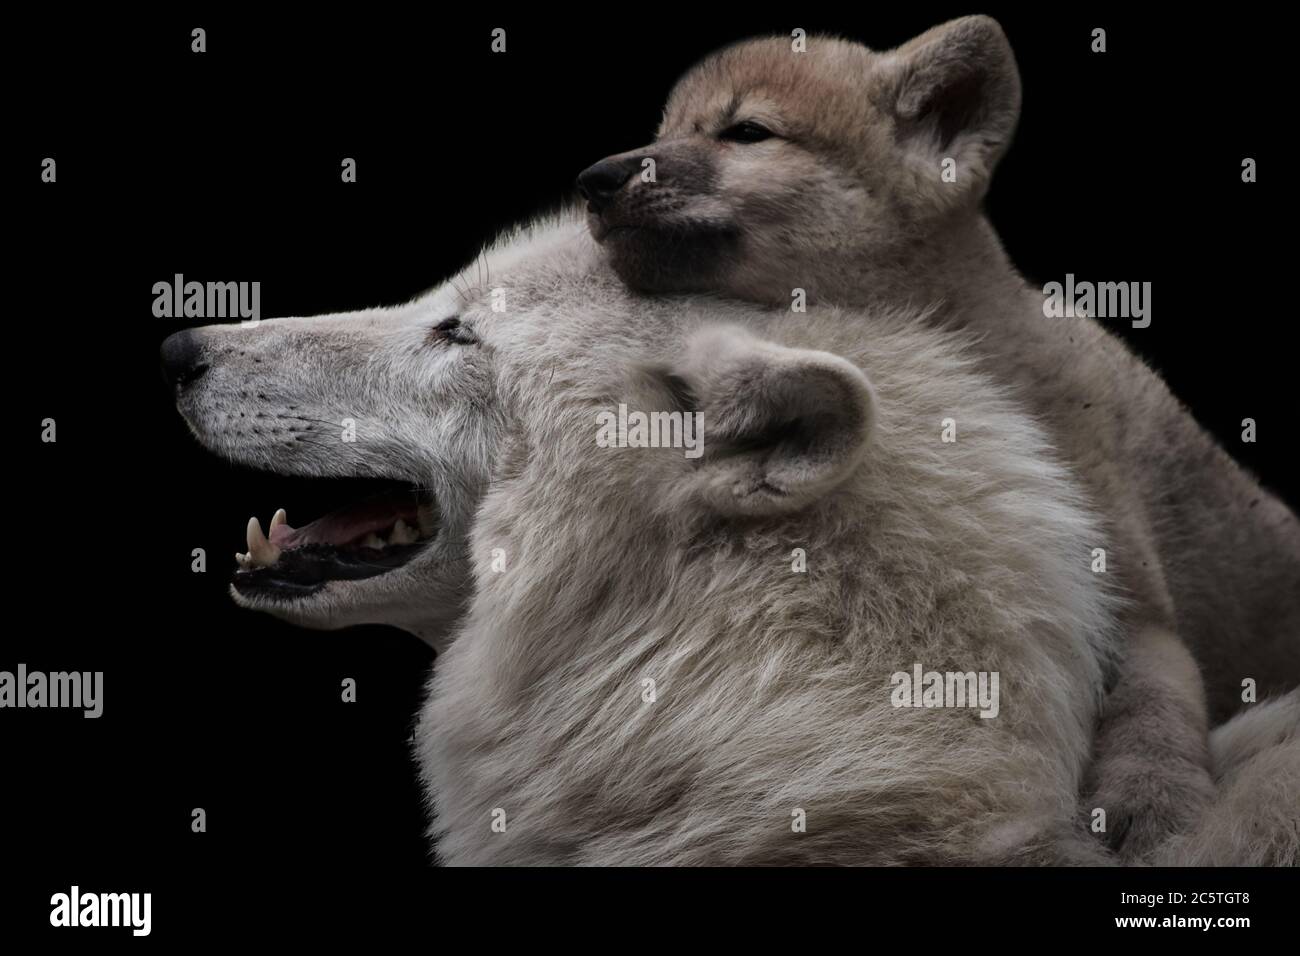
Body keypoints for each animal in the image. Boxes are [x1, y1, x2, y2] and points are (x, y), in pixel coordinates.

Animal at [577, 16, 1300, 857]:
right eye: (665, 129)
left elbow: (1152, 704)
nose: (592, 179)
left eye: (745, 132)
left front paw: (1149, 806)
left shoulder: (1134, 600)